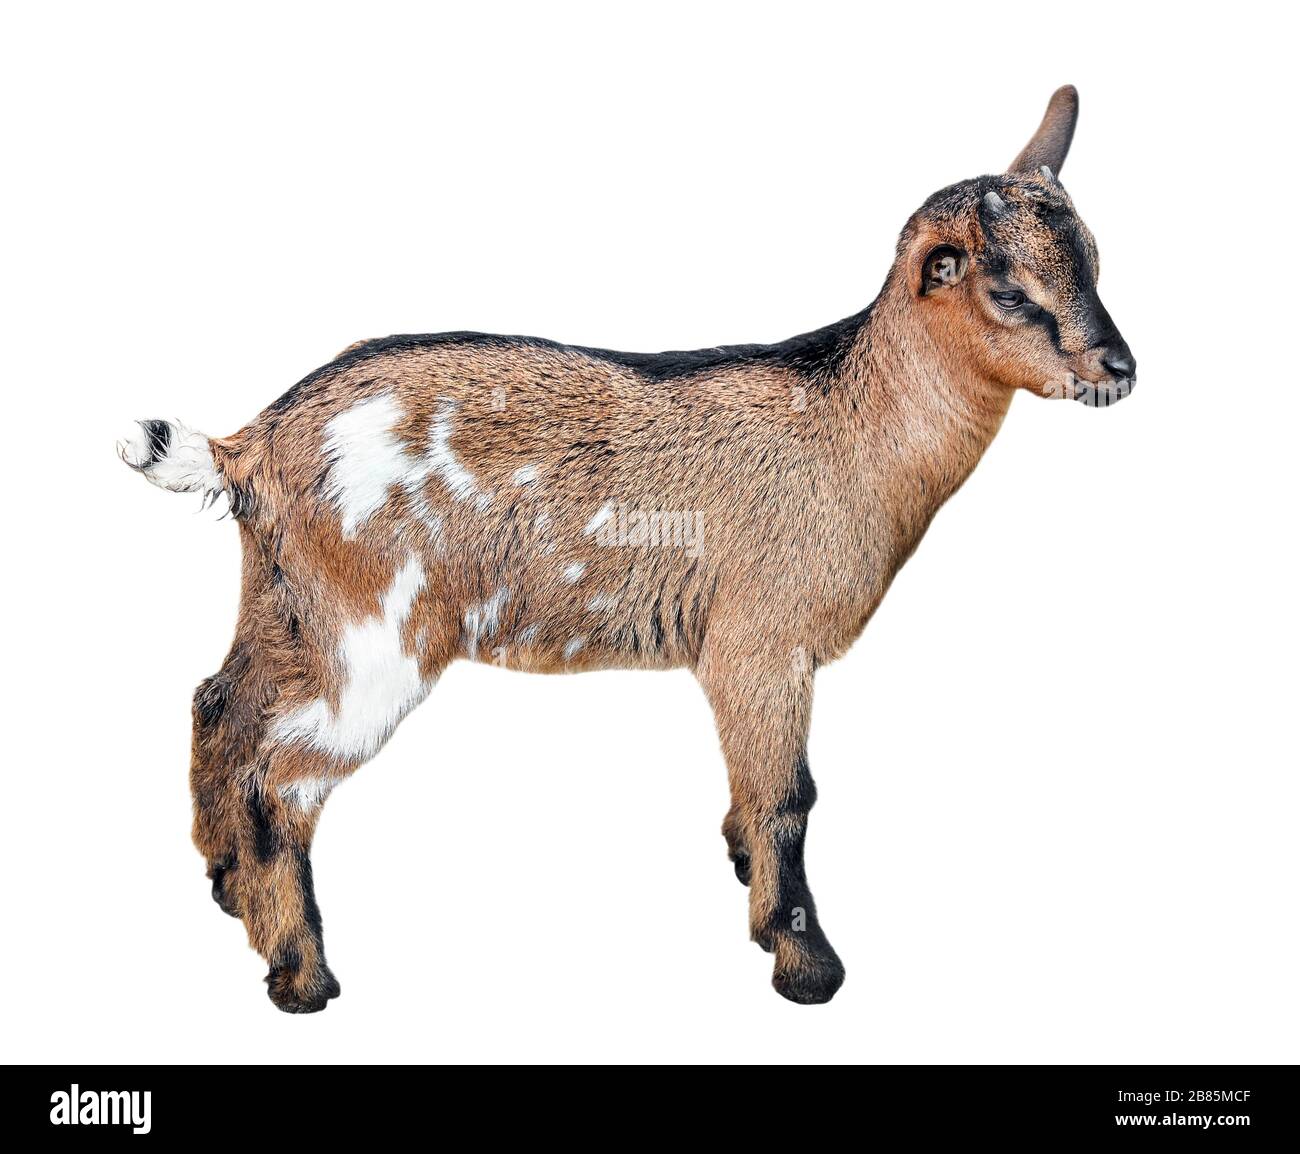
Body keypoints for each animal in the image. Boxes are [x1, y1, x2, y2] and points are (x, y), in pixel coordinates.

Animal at [120, 86, 1135, 1011]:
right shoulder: (762, 640)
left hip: (291, 604)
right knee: (283, 782)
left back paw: (225, 888)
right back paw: (301, 976)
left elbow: (753, 792)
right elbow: (789, 797)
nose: (1119, 370)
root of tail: (252, 444)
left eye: (1092, 258)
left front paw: (742, 870)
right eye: (1008, 291)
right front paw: (804, 963)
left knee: (220, 706)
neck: (852, 423)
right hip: (377, 629)